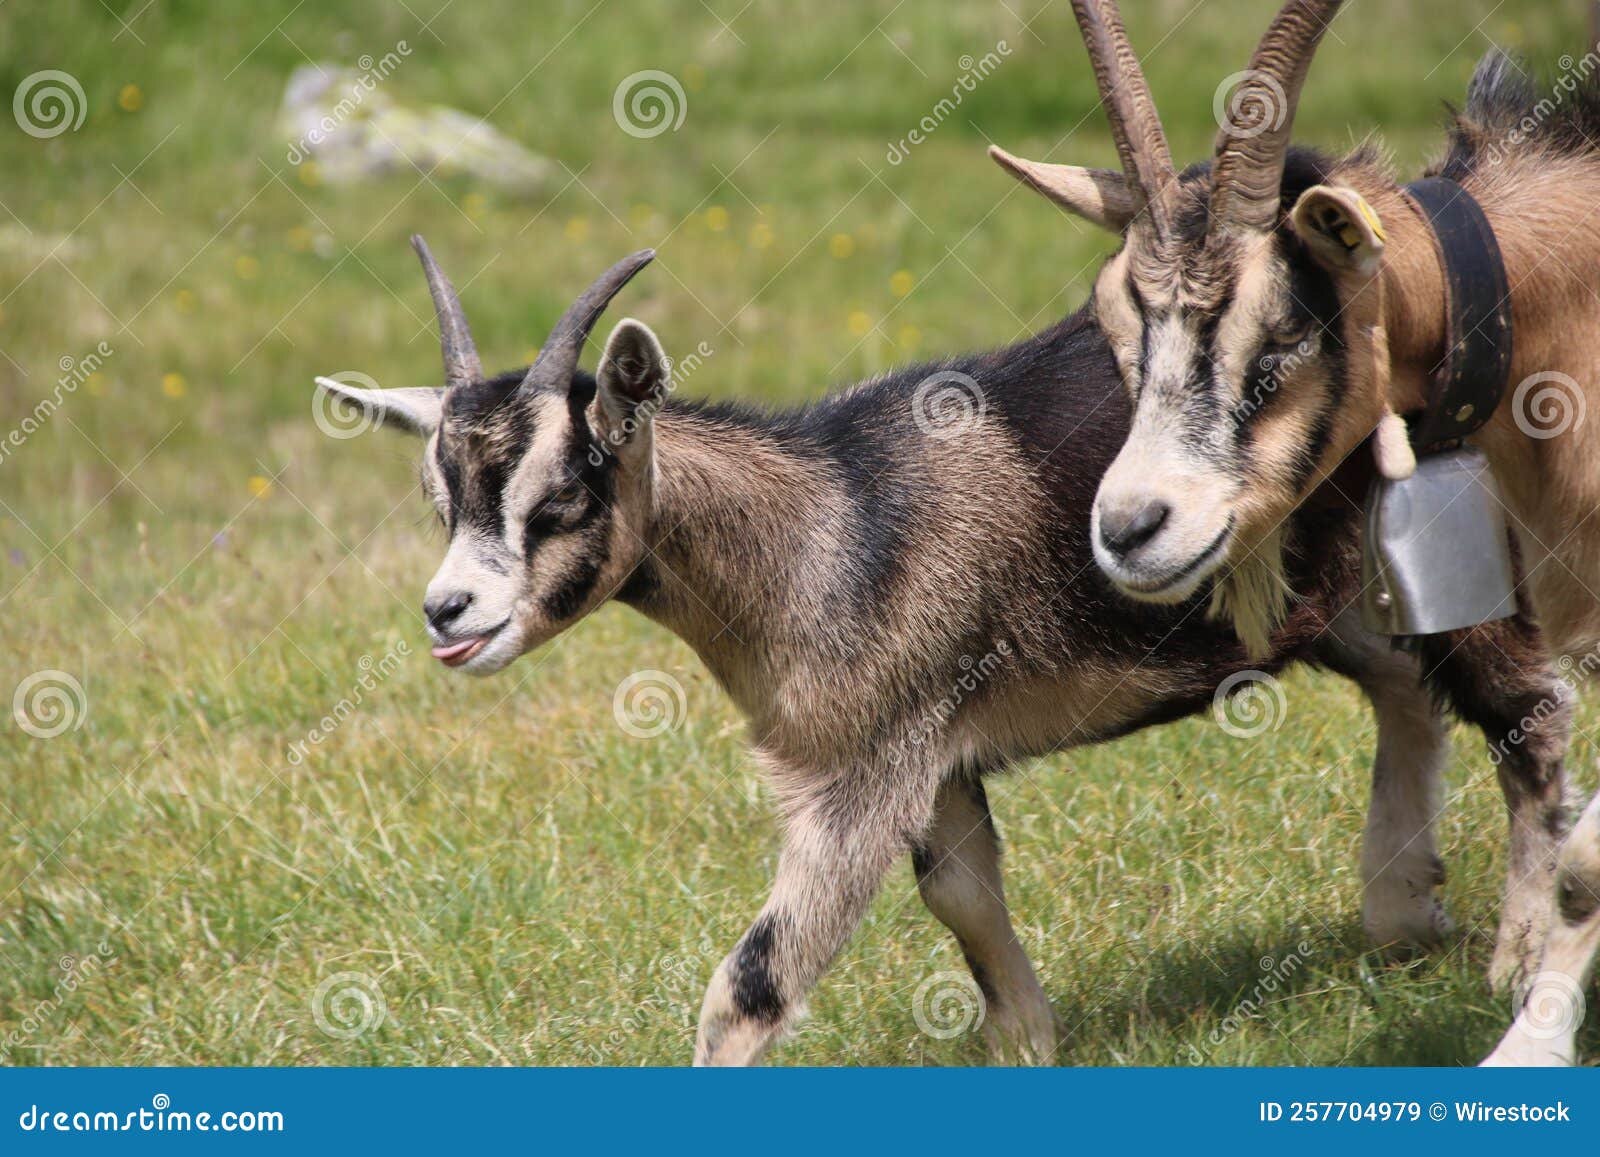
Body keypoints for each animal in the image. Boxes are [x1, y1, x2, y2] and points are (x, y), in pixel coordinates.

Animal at [312, 237, 1569, 1065]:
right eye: (440, 496)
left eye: (563, 495)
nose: (449, 611)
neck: (826, 522)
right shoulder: (932, 742)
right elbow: (962, 890)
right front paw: (1029, 1041)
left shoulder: (862, 769)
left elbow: (752, 982)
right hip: (1335, 586)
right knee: (1409, 682)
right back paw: (1403, 906)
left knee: (1527, 712)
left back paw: (1515, 956)